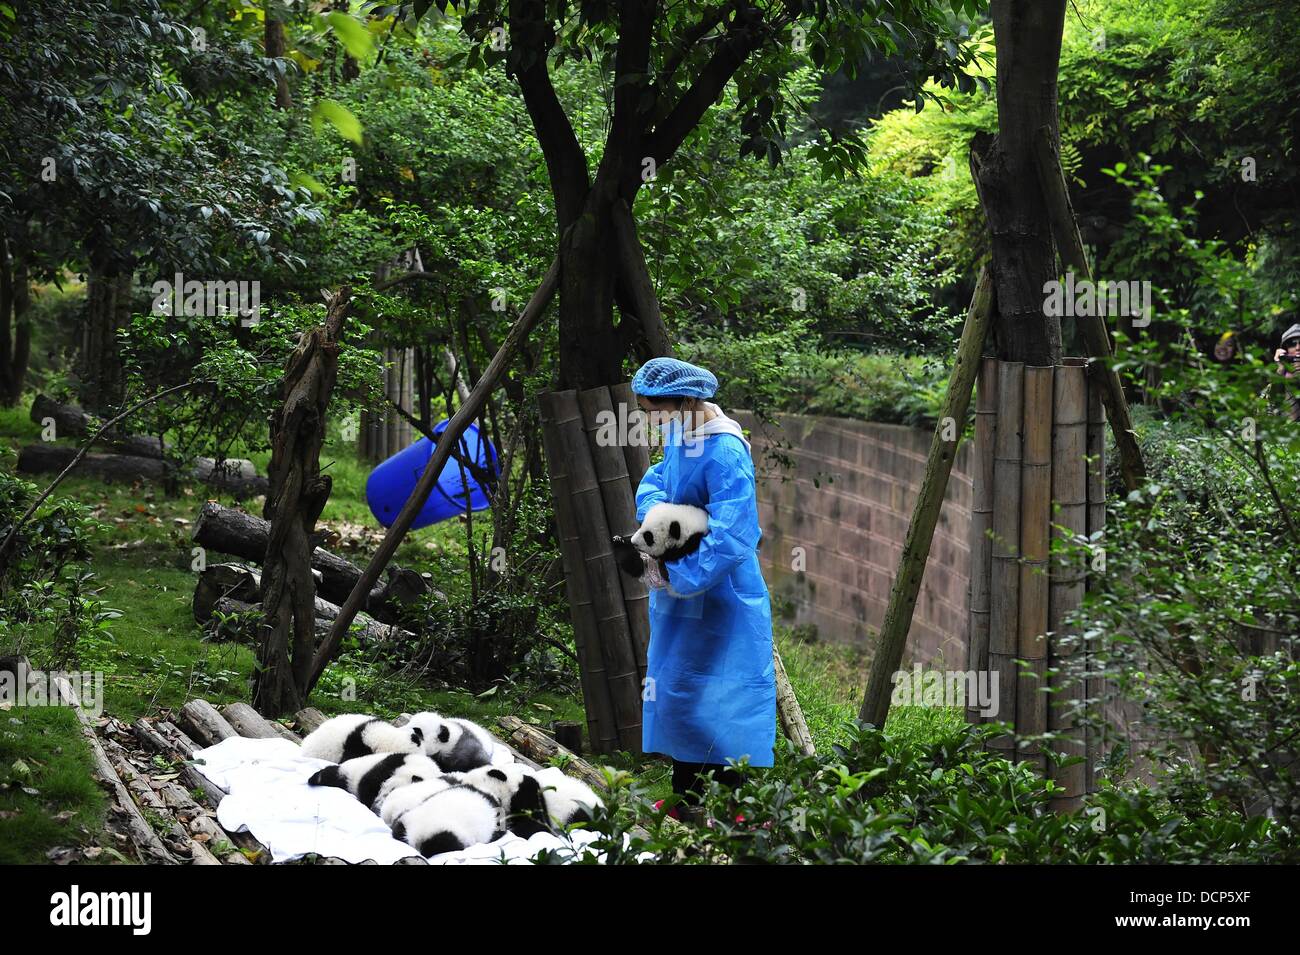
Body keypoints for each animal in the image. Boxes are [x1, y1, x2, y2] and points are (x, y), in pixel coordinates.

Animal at [306, 752, 443, 813]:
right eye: (391, 791)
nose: (375, 808)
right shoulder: (391, 764)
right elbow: (369, 784)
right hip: (348, 772)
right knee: (332, 774)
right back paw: (314, 779)